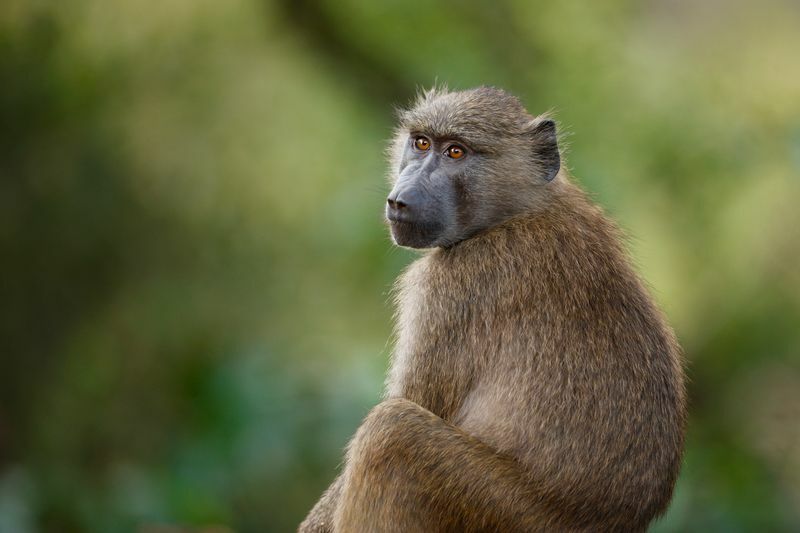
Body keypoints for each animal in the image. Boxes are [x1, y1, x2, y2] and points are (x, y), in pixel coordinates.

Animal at [300, 85, 688, 528]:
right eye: (421, 143)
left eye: (456, 152)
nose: (401, 199)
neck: (517, 211)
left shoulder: (451, 288)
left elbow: (416, 400)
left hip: (493, 508)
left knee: (391, 431)